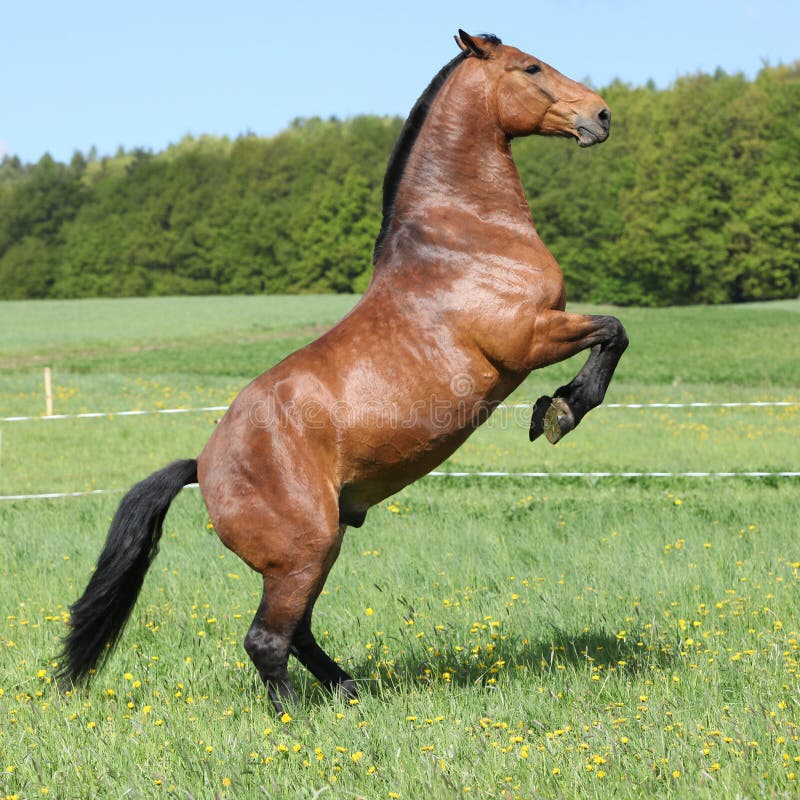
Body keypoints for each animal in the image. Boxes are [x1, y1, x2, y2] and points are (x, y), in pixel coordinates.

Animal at [57, 31, 628, 713]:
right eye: (531, 67)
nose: (601, 115)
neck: (467, 236)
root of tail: (203, 466)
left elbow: (612, 332)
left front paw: (556, 409)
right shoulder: (528, 337)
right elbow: (613, 331)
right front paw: (561, 410)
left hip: (318, 551)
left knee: (296, 632)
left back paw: (349, 689)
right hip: (305, 551)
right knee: (266, 640)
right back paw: (298, 718)